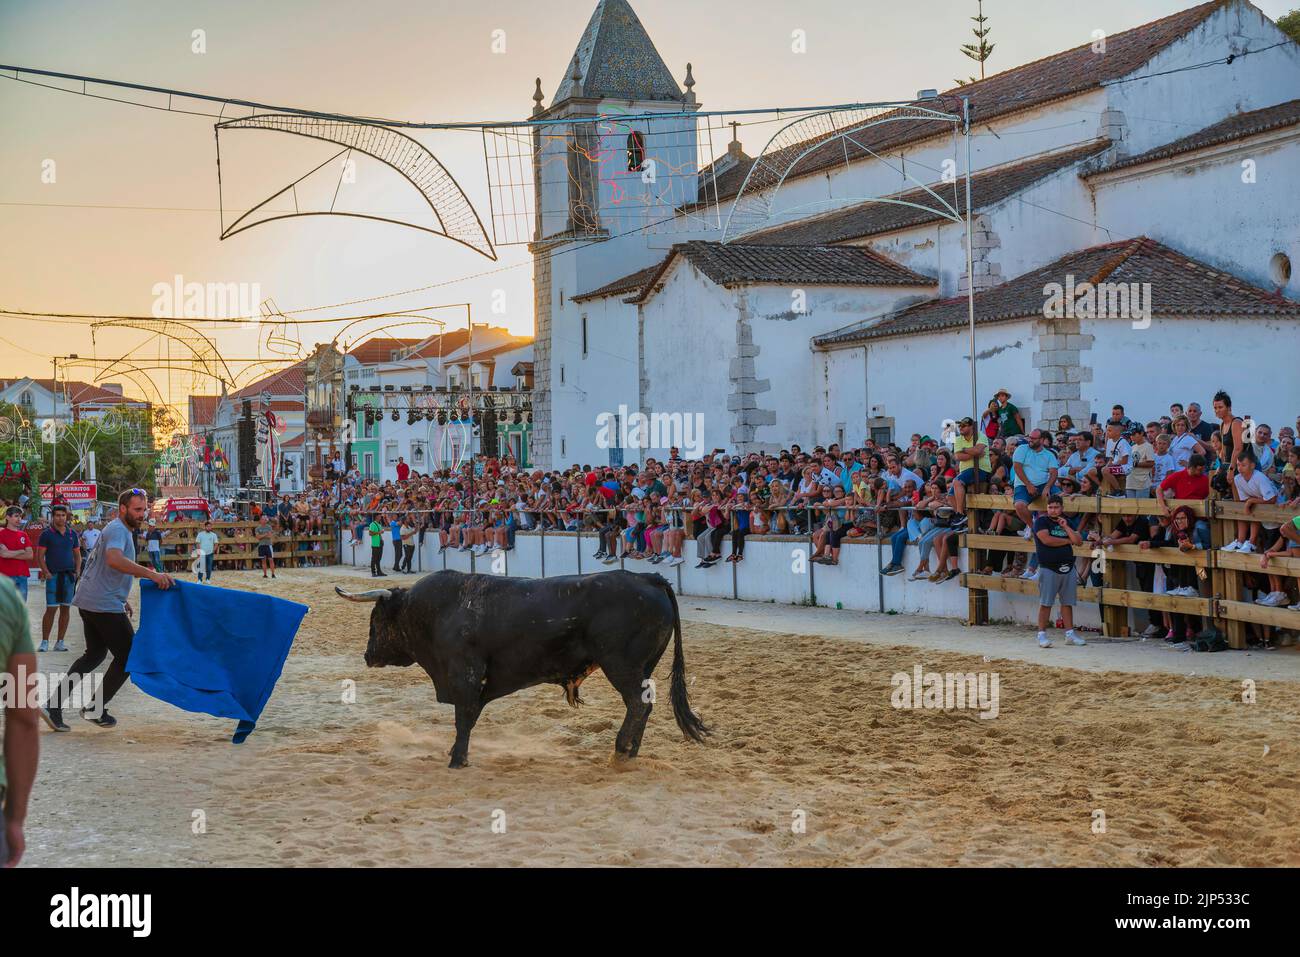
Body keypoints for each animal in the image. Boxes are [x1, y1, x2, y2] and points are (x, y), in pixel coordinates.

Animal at [335, 570, 709, 768]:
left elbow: (463, 719)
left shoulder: (465, 677)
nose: (367, 655)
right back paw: (631, 752)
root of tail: (648, 577)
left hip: (621, 665)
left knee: (636, 704)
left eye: (376, 619)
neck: (436, 612)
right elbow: (469, 718)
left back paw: (619, 749)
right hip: (641, 667)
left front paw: (458, 759)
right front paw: (456, 753)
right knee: (644, 705)